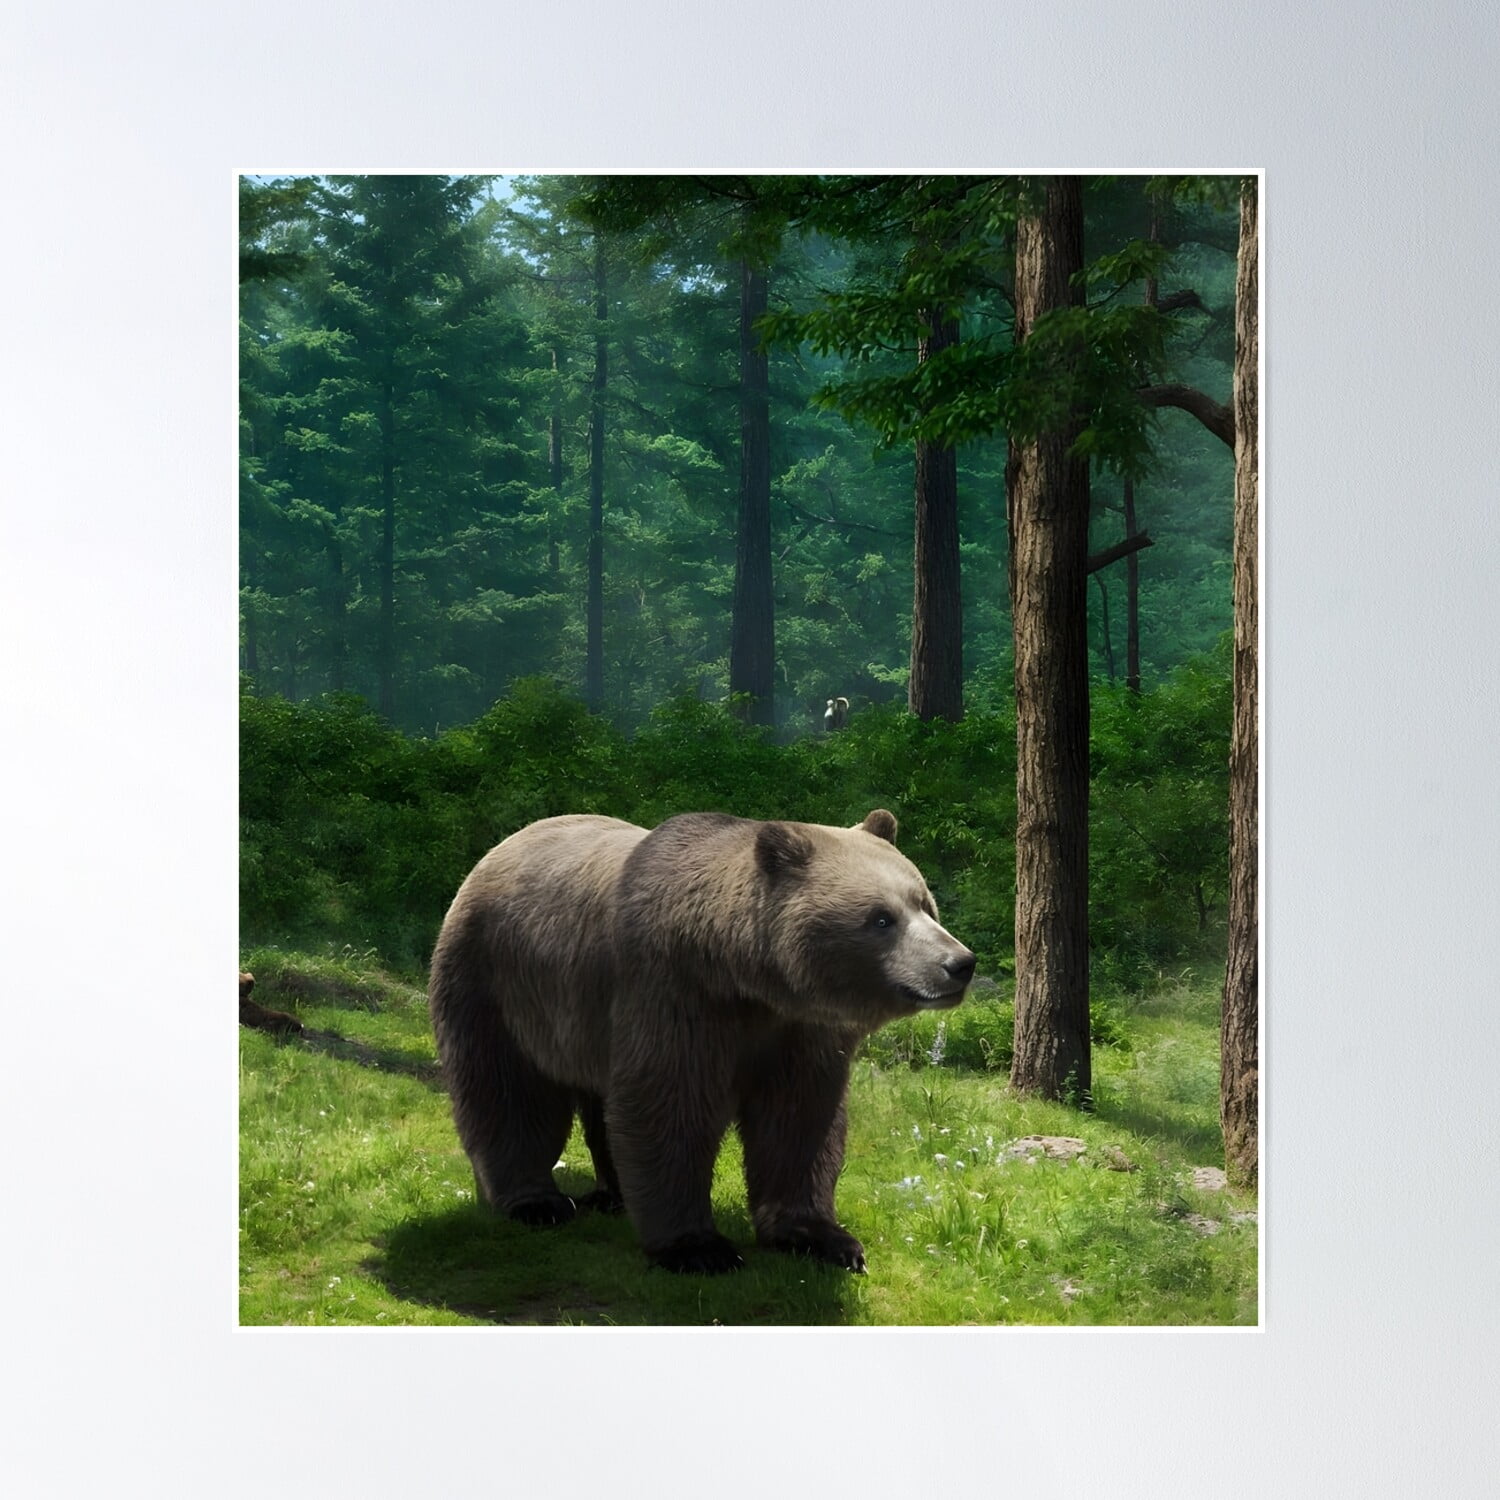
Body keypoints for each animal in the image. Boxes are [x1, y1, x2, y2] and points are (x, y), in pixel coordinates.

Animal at [427, 808, 975, 1275]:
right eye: (881, 918)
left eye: (924, 904)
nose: (960, 963)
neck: (748, 978)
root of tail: (501, 846)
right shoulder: (675, 995)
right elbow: (670, 1108)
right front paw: (698, 1248)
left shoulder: (801, 1031)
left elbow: (799, 1119)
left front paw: (824, 1239)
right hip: (496, 981)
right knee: (507, 1089)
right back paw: (535, 1202)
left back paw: (611, 1194)